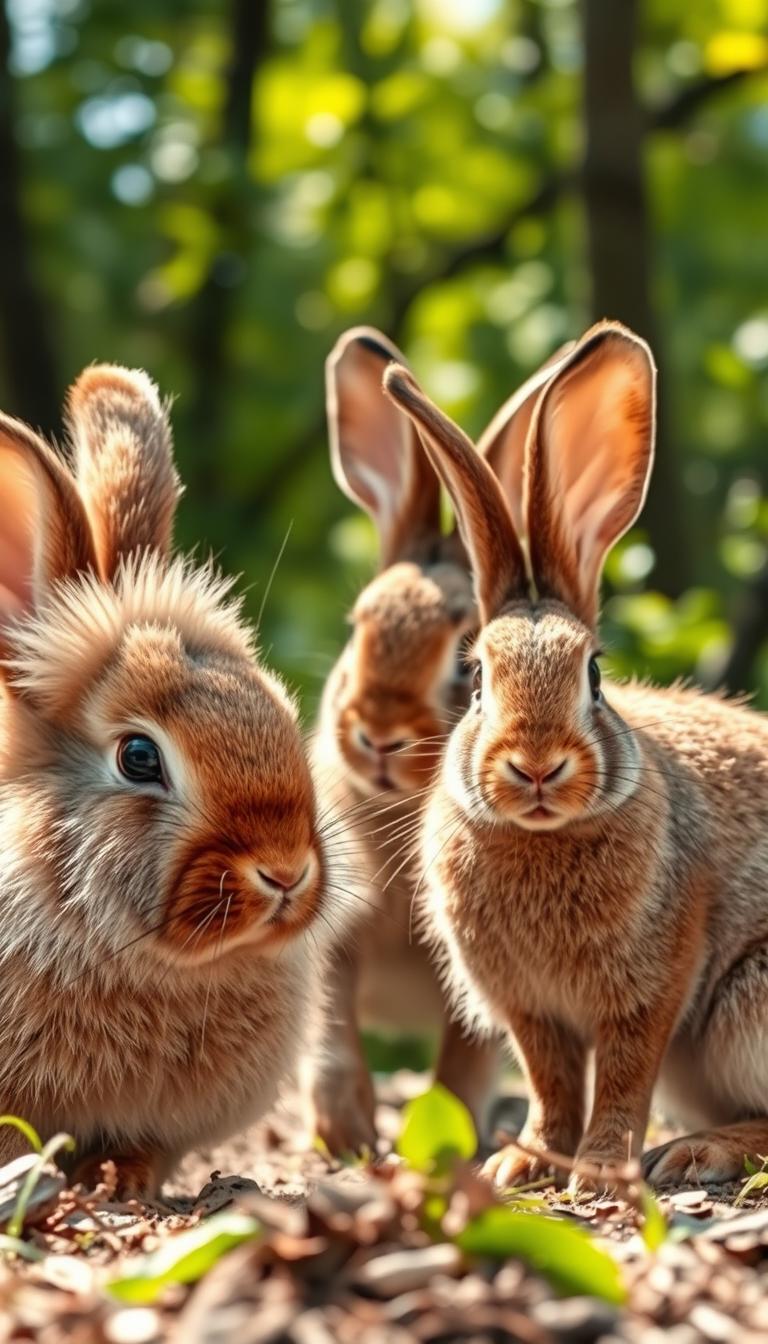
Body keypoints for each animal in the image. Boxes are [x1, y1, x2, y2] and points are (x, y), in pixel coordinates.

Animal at [302, 327, 571, 1155]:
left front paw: (448, 1131)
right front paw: (346, 1133)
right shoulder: (333, 939)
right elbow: (331, 1025)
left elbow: (468, 1049)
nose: (379, 734)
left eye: (466, 661)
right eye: (358, 627)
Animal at [381, 320, 768, 1192]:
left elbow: (622, 1072)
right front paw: (522, 1164)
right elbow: (549, 1077)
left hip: (748, 1013)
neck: (542, 836)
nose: (535, 765)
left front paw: (595, 1171)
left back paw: (698, 1152)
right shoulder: (529, 1007)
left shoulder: (650, 985)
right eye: (477, 677)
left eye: (593, 672)